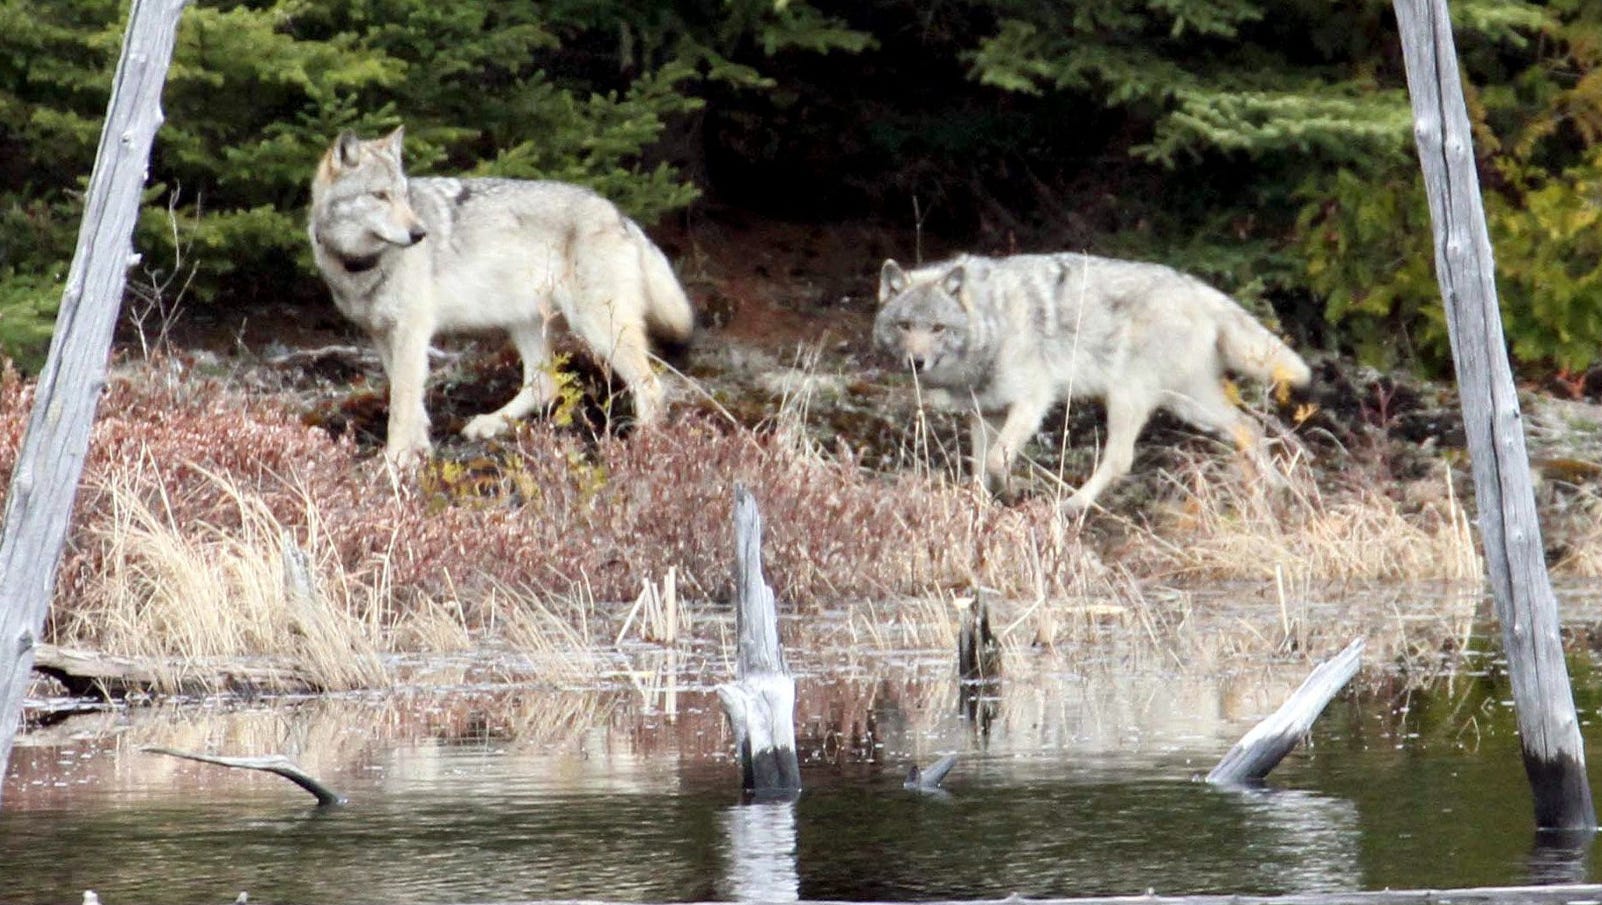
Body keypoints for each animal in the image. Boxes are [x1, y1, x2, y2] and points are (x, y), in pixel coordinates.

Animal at [309, 127, 694, 462]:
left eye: (403, 196)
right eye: (380, 195)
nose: (419, 234)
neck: (361, 264)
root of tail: (620, 214)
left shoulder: (412, 332)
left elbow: (402, 403)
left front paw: (397, 458)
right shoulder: (381, 335)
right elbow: (408, 399)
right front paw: (420, 450)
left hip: (598, 328)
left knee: (651, 385)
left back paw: (642, 448)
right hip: (524, 323)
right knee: (544, 385)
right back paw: (488, 424)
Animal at [873, 252, 1311, 512]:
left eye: (938, 328)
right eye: (905, 326)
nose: (916, 362)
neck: (992, 322)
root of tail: (1200, 289)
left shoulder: (1032, 403)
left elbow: (998, 461)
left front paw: (1009, 494)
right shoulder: (984, 414)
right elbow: (978, 470)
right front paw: (980, 510)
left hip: (1129, 399)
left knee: (1120, 460)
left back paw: (1071, 505)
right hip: (1191, 404)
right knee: (1249, 428)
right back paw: (1272, 492)